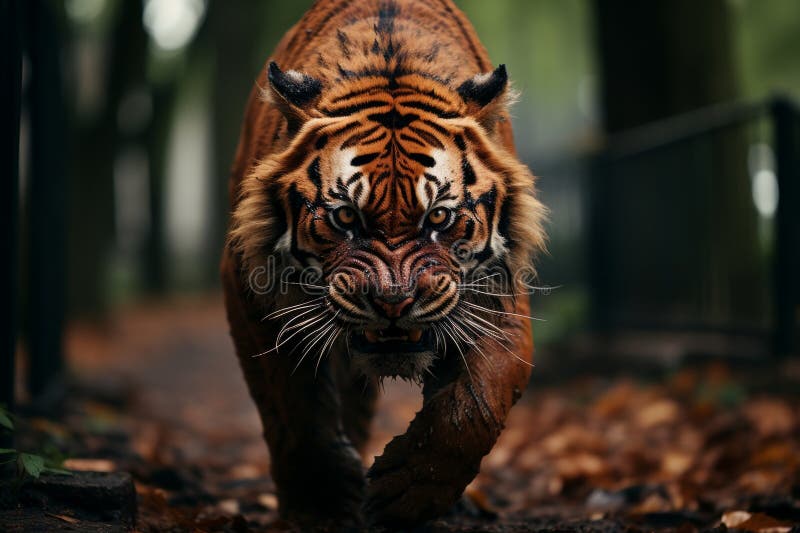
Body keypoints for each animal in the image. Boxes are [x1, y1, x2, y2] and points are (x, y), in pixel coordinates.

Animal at [221, 0, 546, 526]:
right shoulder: (249, 288)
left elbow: (476, 406)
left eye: (439, 216)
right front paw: (321, 503)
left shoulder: (499, 292)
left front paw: (409, 492)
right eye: (345, 217)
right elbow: (291, 405)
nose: (394, 302)